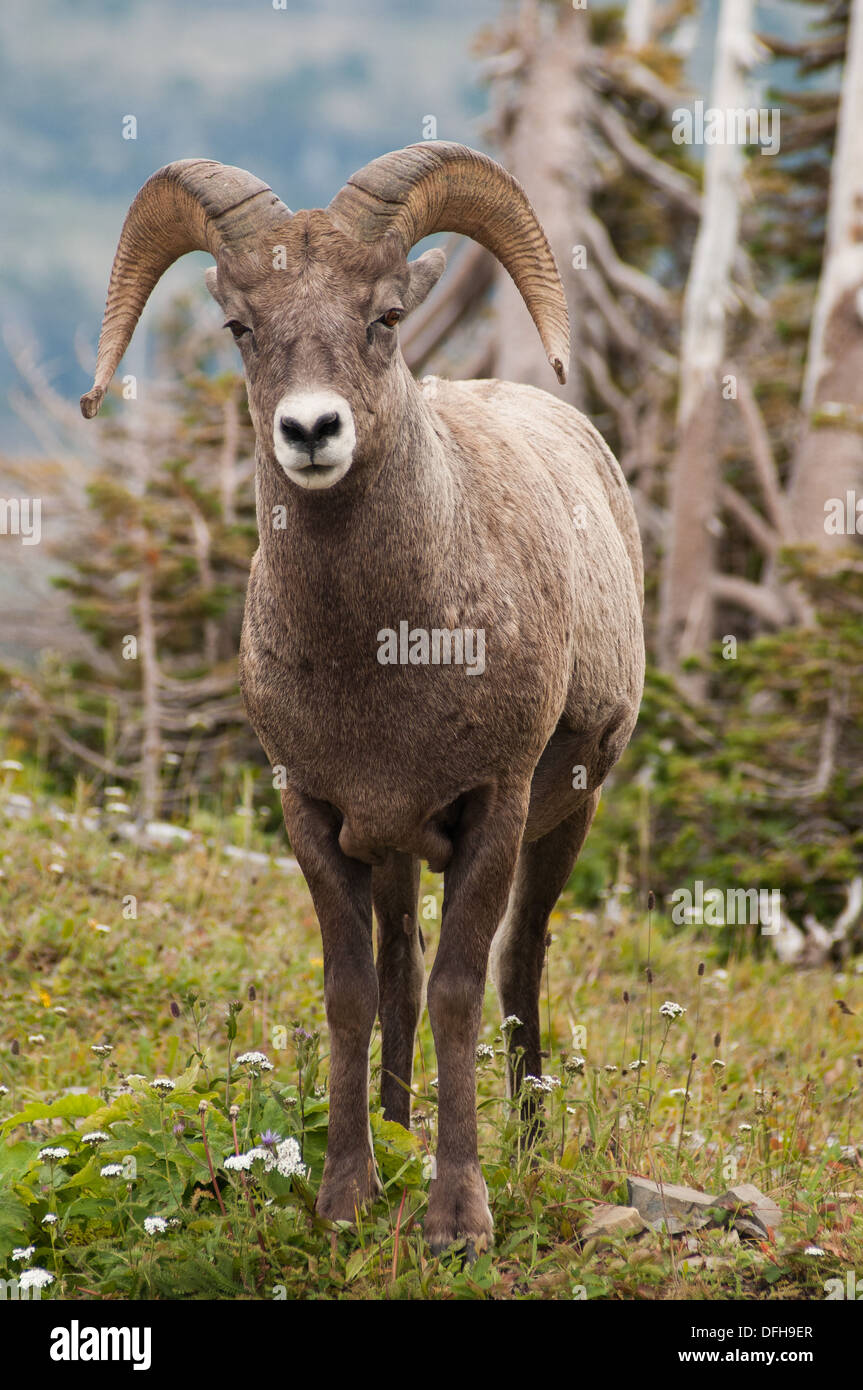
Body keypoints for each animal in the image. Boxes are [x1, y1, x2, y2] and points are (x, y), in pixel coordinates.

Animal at [81, 143, 645, 1256]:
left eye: (382, 316)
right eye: (240, 326)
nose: (310, 430)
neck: (386, 652)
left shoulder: (494, 805)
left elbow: (461, 990)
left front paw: (458, 1219)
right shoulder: (317, 814)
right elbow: (352, 994)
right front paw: (348, 1199)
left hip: (566, 813)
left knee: (517, 966)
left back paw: (524, 1149)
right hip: (392, 852)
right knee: (397, 972)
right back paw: (393, 1130)